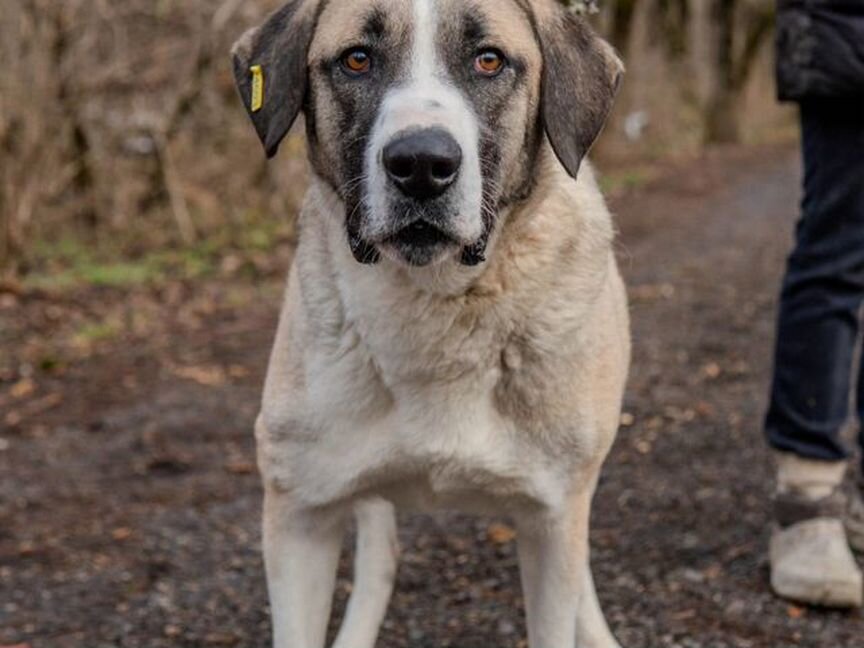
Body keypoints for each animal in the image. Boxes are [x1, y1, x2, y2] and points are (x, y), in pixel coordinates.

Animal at [233, 1, 632, 648]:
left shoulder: (551, 521)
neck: (438, 308)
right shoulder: (299, 517)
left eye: (489, 60)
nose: (421, 165)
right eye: (357, 59)